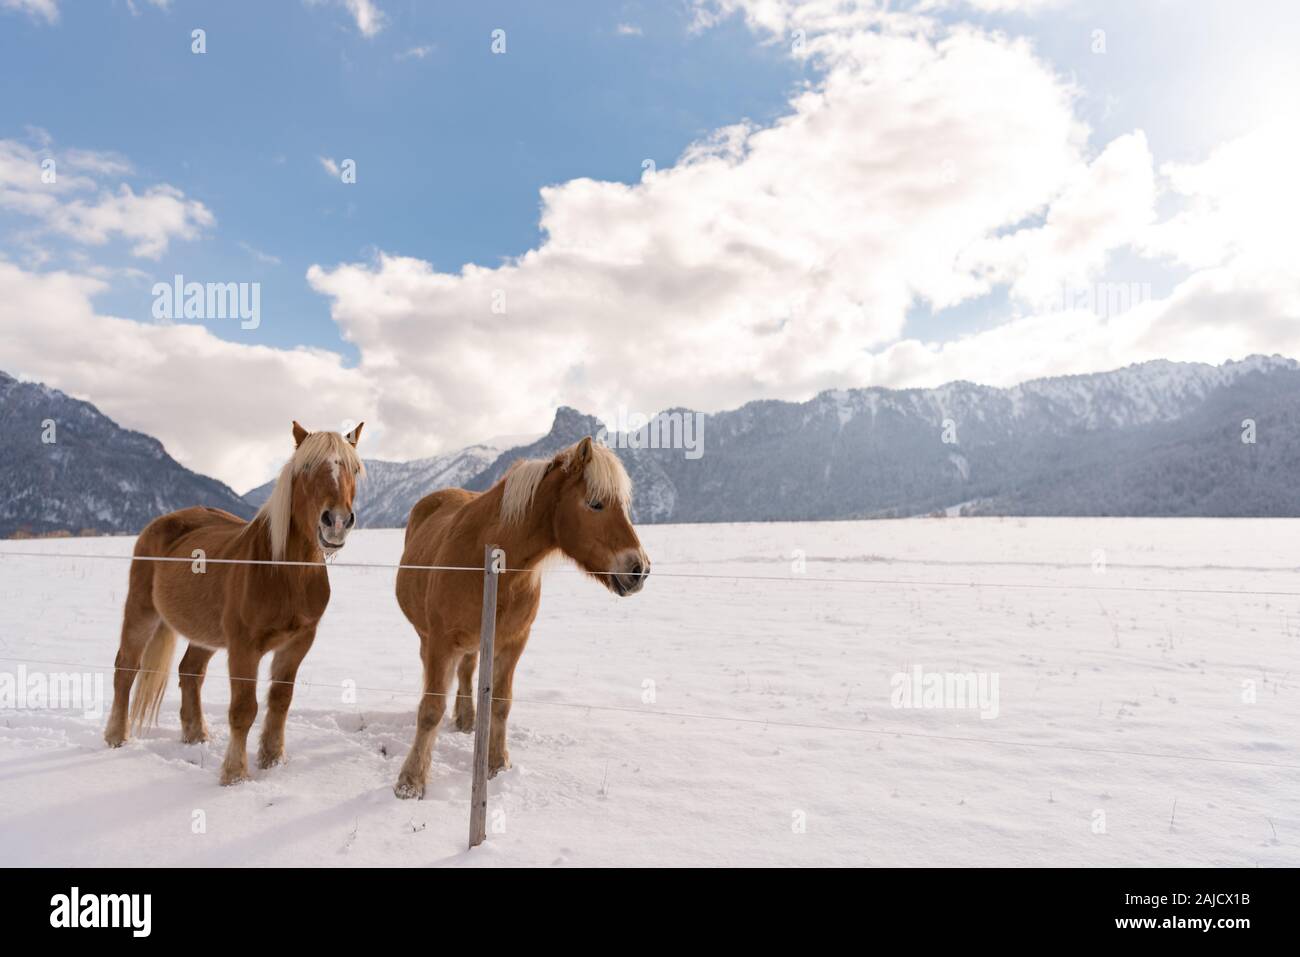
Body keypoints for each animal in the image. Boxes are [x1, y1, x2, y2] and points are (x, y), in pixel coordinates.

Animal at [103, 420, 364, 786]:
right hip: (142, 613)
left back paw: (195, 734)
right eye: (307, 468)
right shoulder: (244, 647)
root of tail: (160, 523)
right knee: (126, 667)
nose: (337, 521)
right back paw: (116, 736)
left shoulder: (298, 643)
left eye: (354, 469)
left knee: (190, 672)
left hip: (204, 632)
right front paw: (234, 773)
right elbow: (244, 709)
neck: (284, 571)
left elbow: (280, 700)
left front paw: (272, 759)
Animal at [393, 435, 650, 799]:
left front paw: (497, 765)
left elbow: (501, 703)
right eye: (596, 504)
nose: (639, 569)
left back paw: (467, 719)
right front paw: (411, 782)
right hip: (427, 636)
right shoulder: (441, 642)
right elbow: (430, 710)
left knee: (467, 669)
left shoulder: (514, 642)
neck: (493, 562)